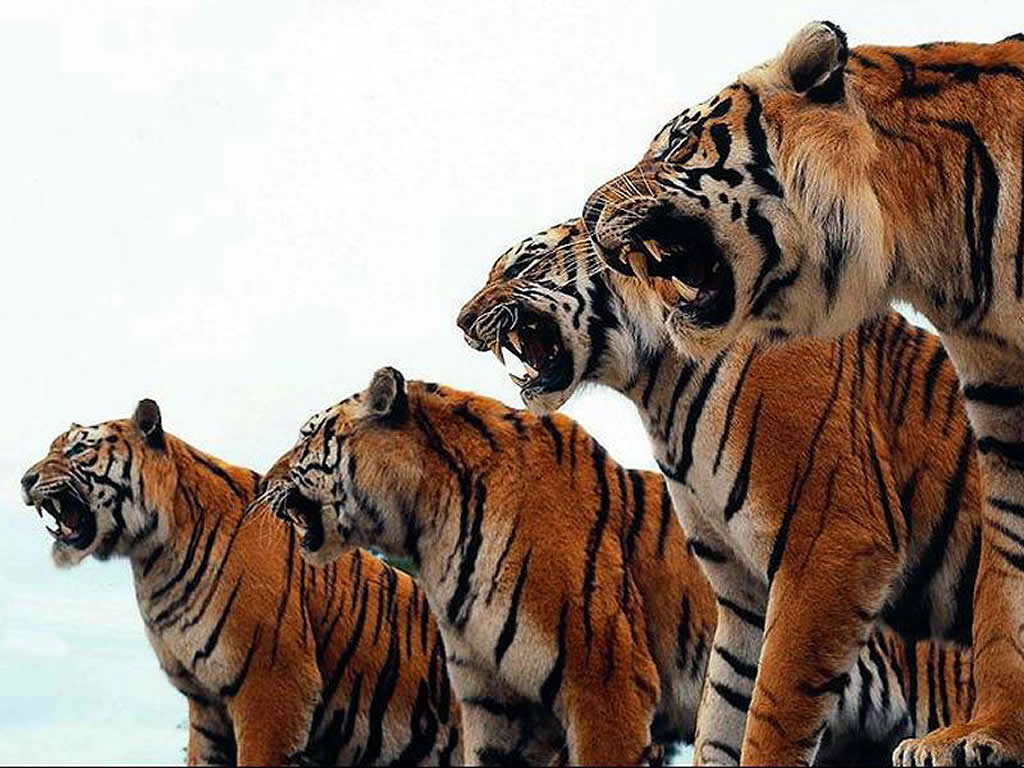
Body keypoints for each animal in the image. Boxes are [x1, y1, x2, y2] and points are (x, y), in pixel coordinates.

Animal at [457, 217, 984, 765]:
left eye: (522, 264)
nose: (462, 322)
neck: (655, 385)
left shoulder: (831, 542)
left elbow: (775, 707)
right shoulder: (740, 587)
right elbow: (727, 706)